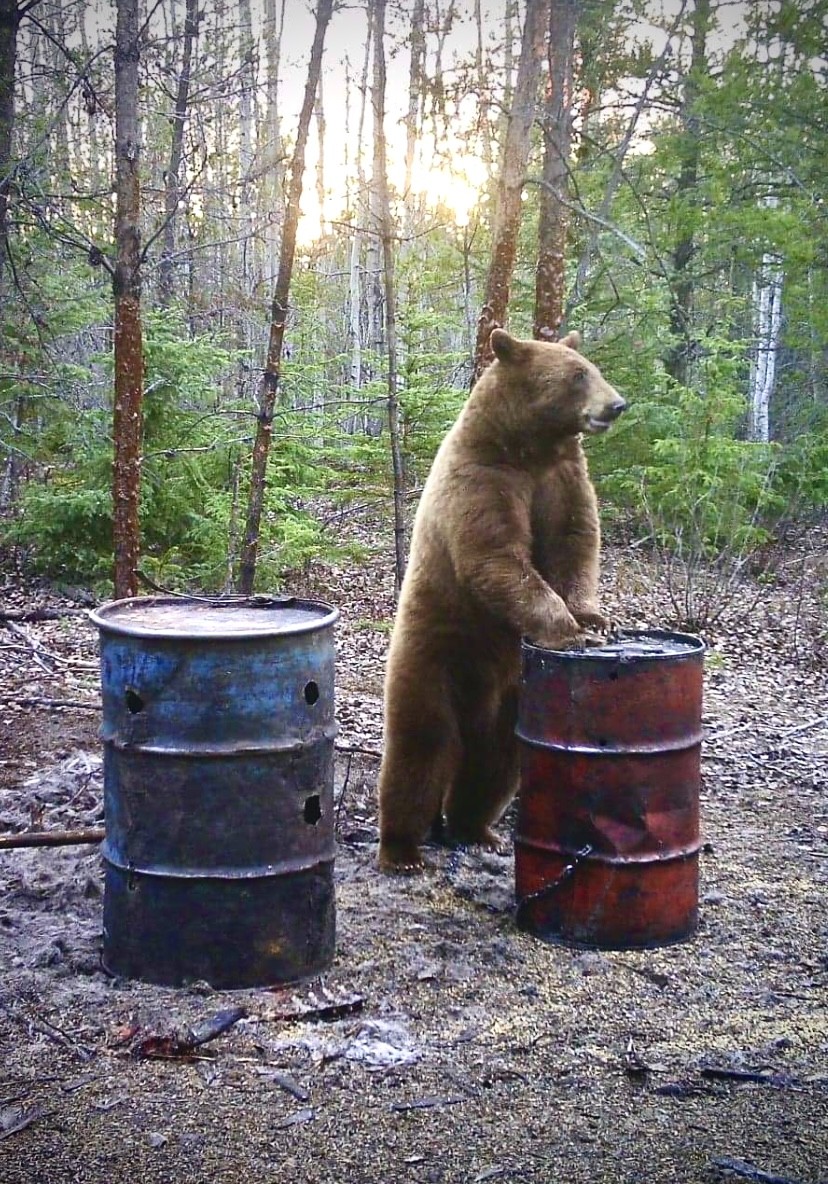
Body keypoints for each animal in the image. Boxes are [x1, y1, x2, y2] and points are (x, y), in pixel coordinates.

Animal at [377, 327, 626, 873]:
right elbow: (495, 558)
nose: (617, 404)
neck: (529, 448)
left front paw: (595, 620)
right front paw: (569, 632)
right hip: (434, 654)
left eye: (591, 368)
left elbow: (575, 542)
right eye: (578, 375)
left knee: (497, 760)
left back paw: (476, 829)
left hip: (515, 693)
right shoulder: (482, 479)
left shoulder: (563, 478)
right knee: (421, 747)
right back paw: (403, 849)